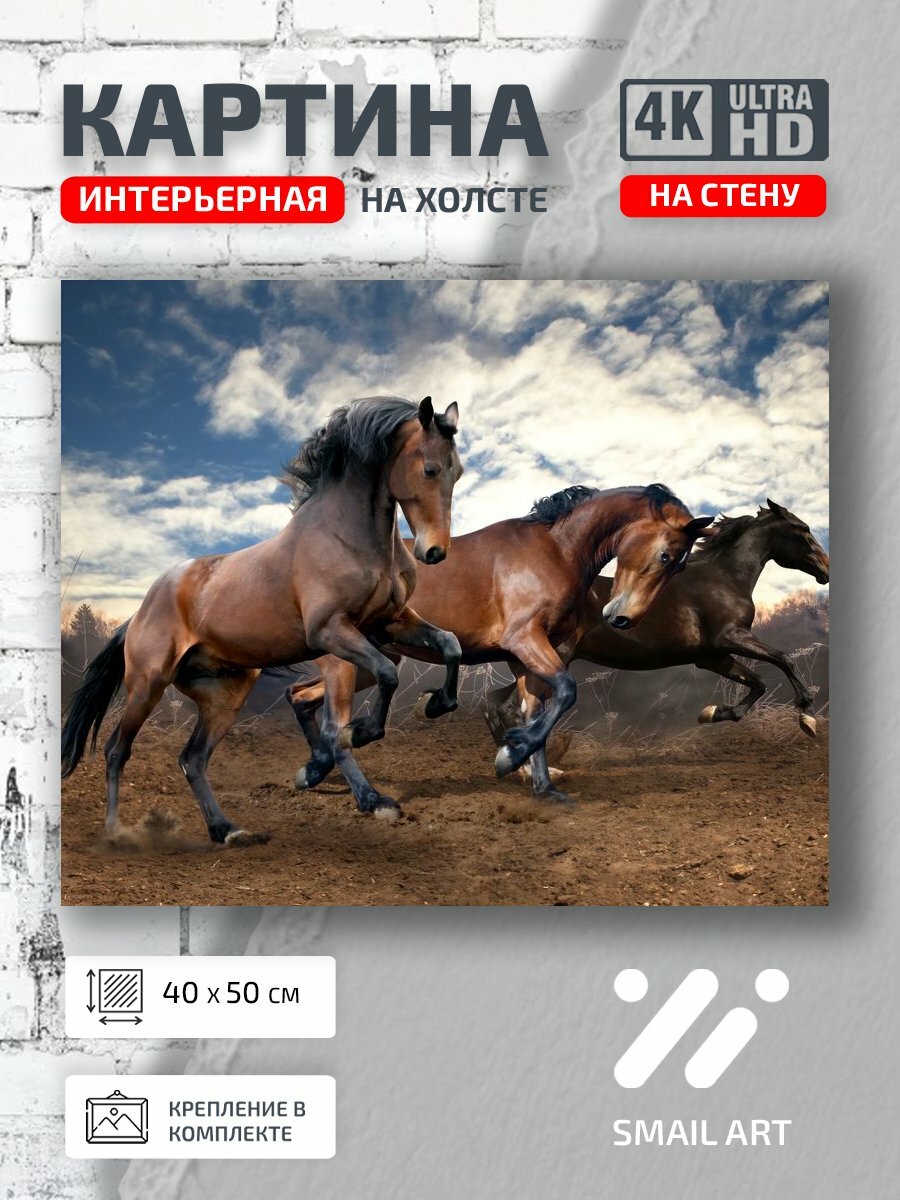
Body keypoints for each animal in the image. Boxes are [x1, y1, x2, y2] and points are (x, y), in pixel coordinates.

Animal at [61, 395, 464, 840]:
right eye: (429, 469)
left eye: (458, 472)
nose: (434, 552)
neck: (347, 536)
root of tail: (137, 613)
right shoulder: (330, 631)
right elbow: (381, 684)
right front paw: (360, 747)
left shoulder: (388, 622)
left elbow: (449, 644)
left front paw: (436, 703)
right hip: (147, 684)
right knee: (117, 750)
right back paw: (117, 831)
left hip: (225, 693)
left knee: (192, 759)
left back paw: (226, 830)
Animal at [286, 484, 714, 810]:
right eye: (666, 555)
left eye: (678, 566)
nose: (623, 618)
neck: (555, 551)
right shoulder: (525, 640)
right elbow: (566, 692)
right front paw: (511, 755)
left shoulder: (526, 659)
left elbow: (537, 710)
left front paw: (543, 785)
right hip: (345, 663)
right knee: (334, 727)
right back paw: (371, 799)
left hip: (371, 661)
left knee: (300, 696)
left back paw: (313, 770)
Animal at [482, 498, 830, 796]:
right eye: (803, 529)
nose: (826, 570)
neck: (723, 579)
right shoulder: (730, 637)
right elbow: (783, 659)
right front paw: (807, 718)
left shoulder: (712, 656)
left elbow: (757, 684)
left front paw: (712, 713)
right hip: (553, 661)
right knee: (510, 709)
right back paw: (531, 770)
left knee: (494, 704)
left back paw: (519, 766)